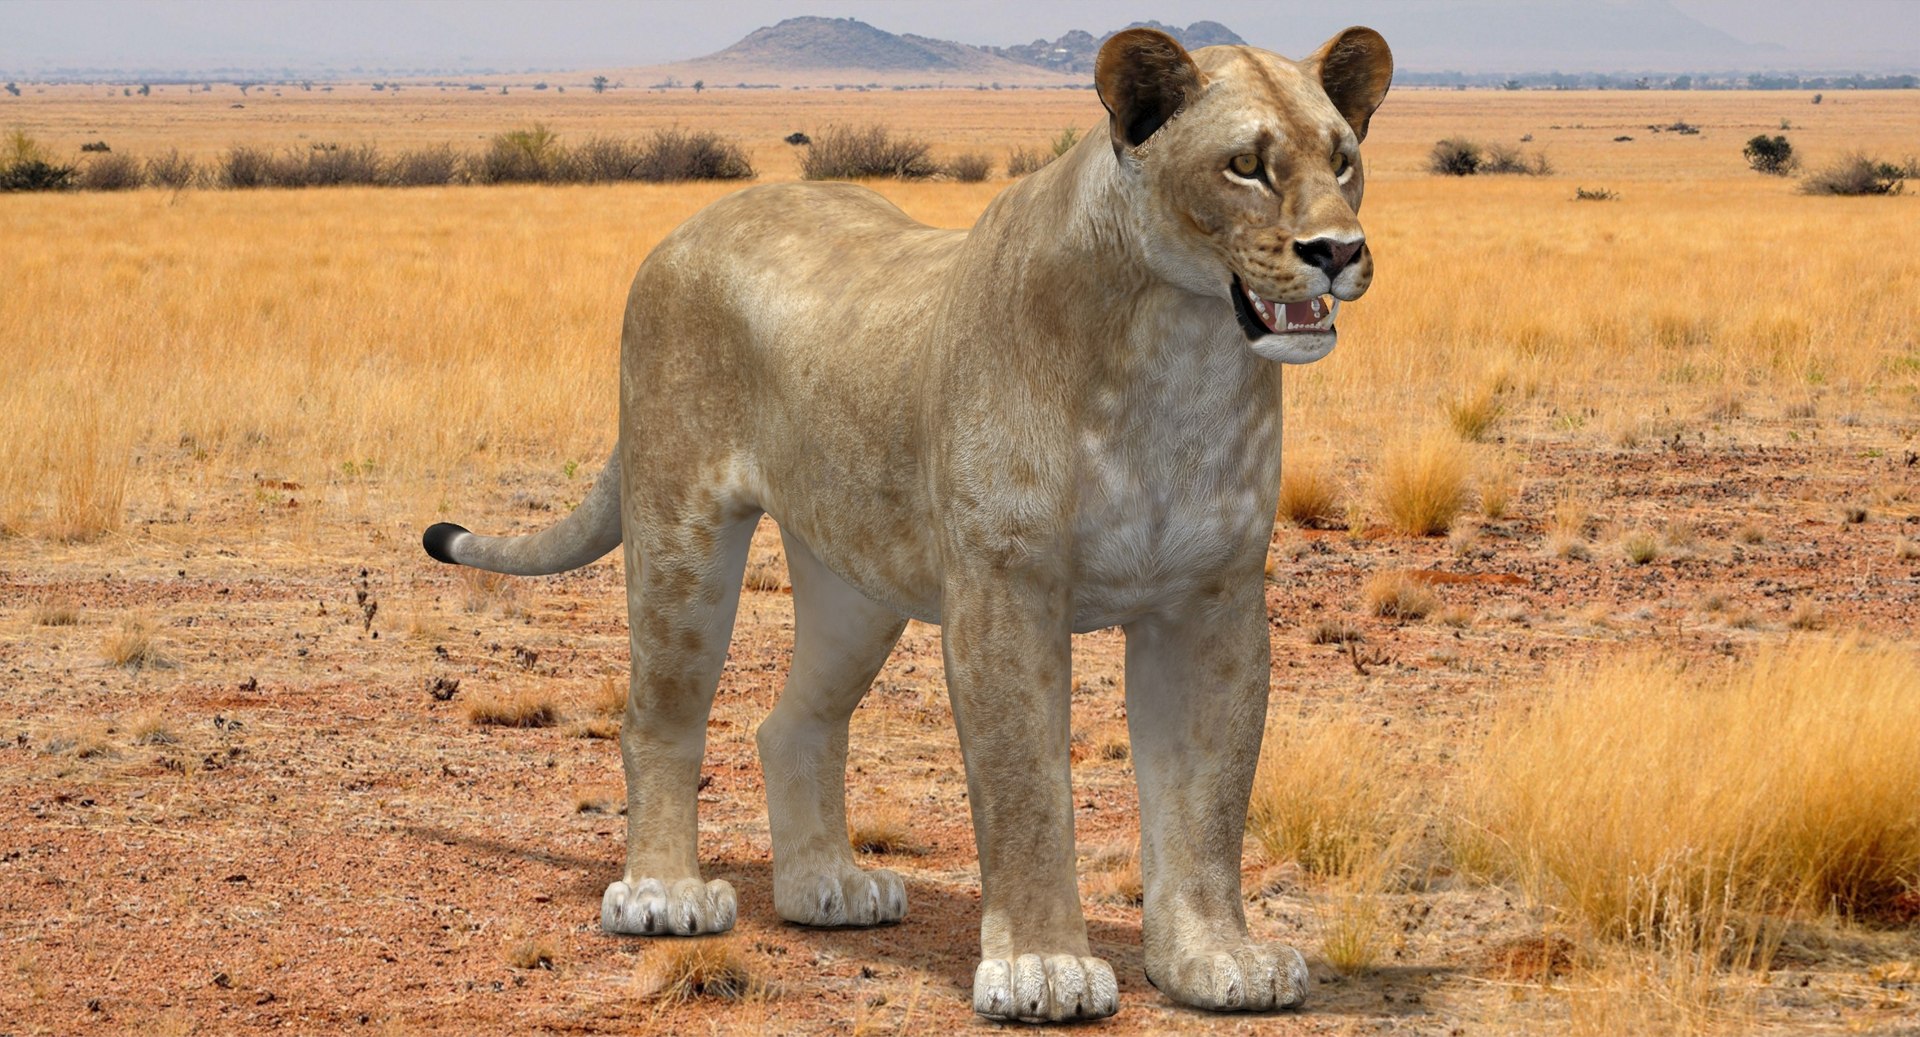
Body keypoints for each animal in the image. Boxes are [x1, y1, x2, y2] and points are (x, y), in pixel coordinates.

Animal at [422, 26, 1391, 1022]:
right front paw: (1045, 969)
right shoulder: (1006, 587)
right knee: (659, 715)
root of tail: (683, 230)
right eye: (1245, 165)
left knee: (791, 723)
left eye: (1343, 160)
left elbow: (1208, 795)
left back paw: (829, 887)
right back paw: (664, 894)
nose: (1338, 250)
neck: (1180, 354)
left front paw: (1216, 959)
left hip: (856, 585)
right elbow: (1026, 787)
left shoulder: (1214, 599)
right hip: (679, 533)